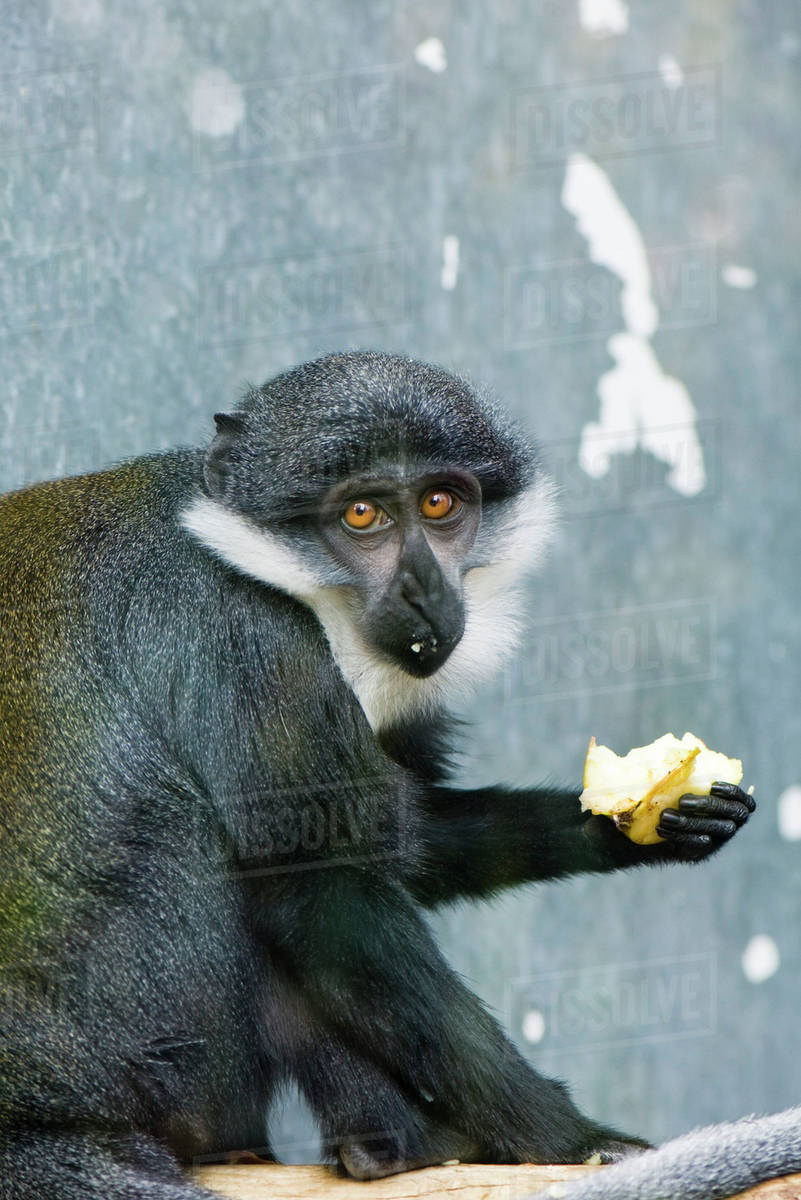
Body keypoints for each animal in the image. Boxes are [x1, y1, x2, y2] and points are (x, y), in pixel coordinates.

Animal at [0, 351, 755, 1197]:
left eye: (438, 503)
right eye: (362, 516)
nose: (425, 591)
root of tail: (36, 1123)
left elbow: (407, 842)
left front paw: (649, 824)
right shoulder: (249, 637)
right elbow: (329, 893)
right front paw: (574, 1137)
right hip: (166, 1062)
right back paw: (396, 1146)